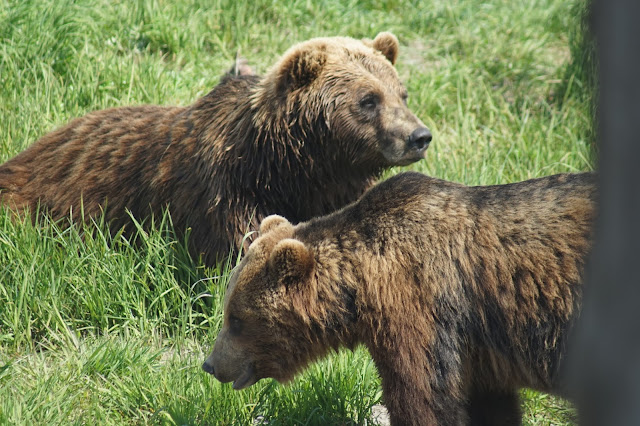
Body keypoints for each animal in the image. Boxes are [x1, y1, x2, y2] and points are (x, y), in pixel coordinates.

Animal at [0, 32, 431, 266]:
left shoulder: (339, 190)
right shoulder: (229, 192)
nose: (419, 136)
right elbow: (243, 245)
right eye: (368, 100)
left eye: (402, 92)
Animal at [202, 171, 597, 425]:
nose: (210, 364)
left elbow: (422, 400)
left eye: (236, 319)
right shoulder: (479, 352)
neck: (361, 287)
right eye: (228, 312)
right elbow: (491, 406)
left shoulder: (419, 310)